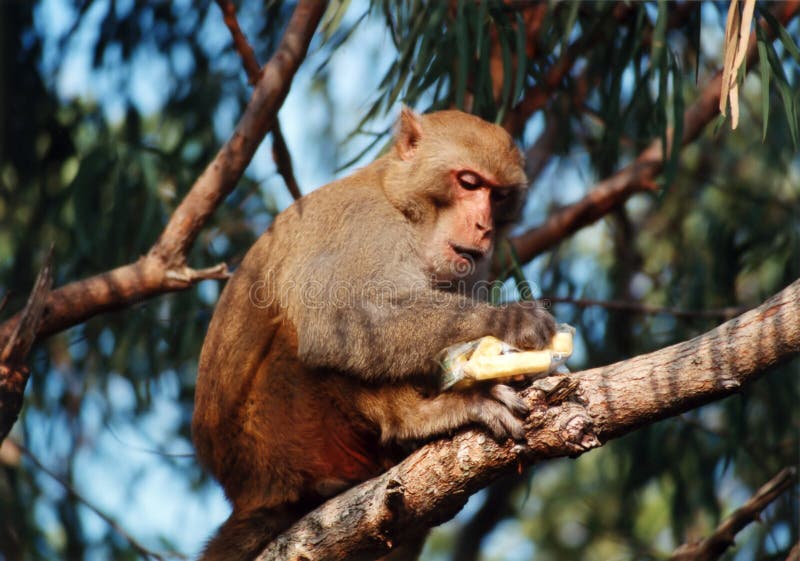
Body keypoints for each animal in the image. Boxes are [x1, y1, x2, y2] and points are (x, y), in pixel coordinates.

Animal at [191, 108, 556, 561]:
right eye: (469, 183)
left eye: (499, 196)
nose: (484, 226)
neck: (401, 203)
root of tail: (246, 491)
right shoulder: (367, 227)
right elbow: (339, 322)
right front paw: (510, 323)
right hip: (279, 436)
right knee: (309, 340)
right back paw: (418, 418)